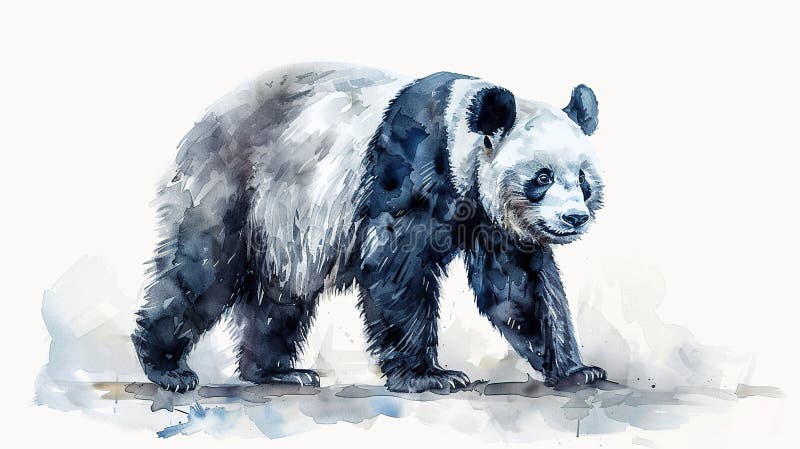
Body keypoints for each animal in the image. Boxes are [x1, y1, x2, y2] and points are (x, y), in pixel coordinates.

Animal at [132, 62, 606, 393]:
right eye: (542, 177)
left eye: (583, 179)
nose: (574, 218)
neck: (458, 133)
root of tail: (201, 124)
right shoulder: (407, 174)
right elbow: (396, 267)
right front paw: (429, 376)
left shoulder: (489, 217)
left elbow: (516, 285)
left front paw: (575, 370)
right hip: (238, 182)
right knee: (204, 269)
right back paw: (166, 366)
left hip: (286, 221)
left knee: (280, 296)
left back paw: (275, 372)